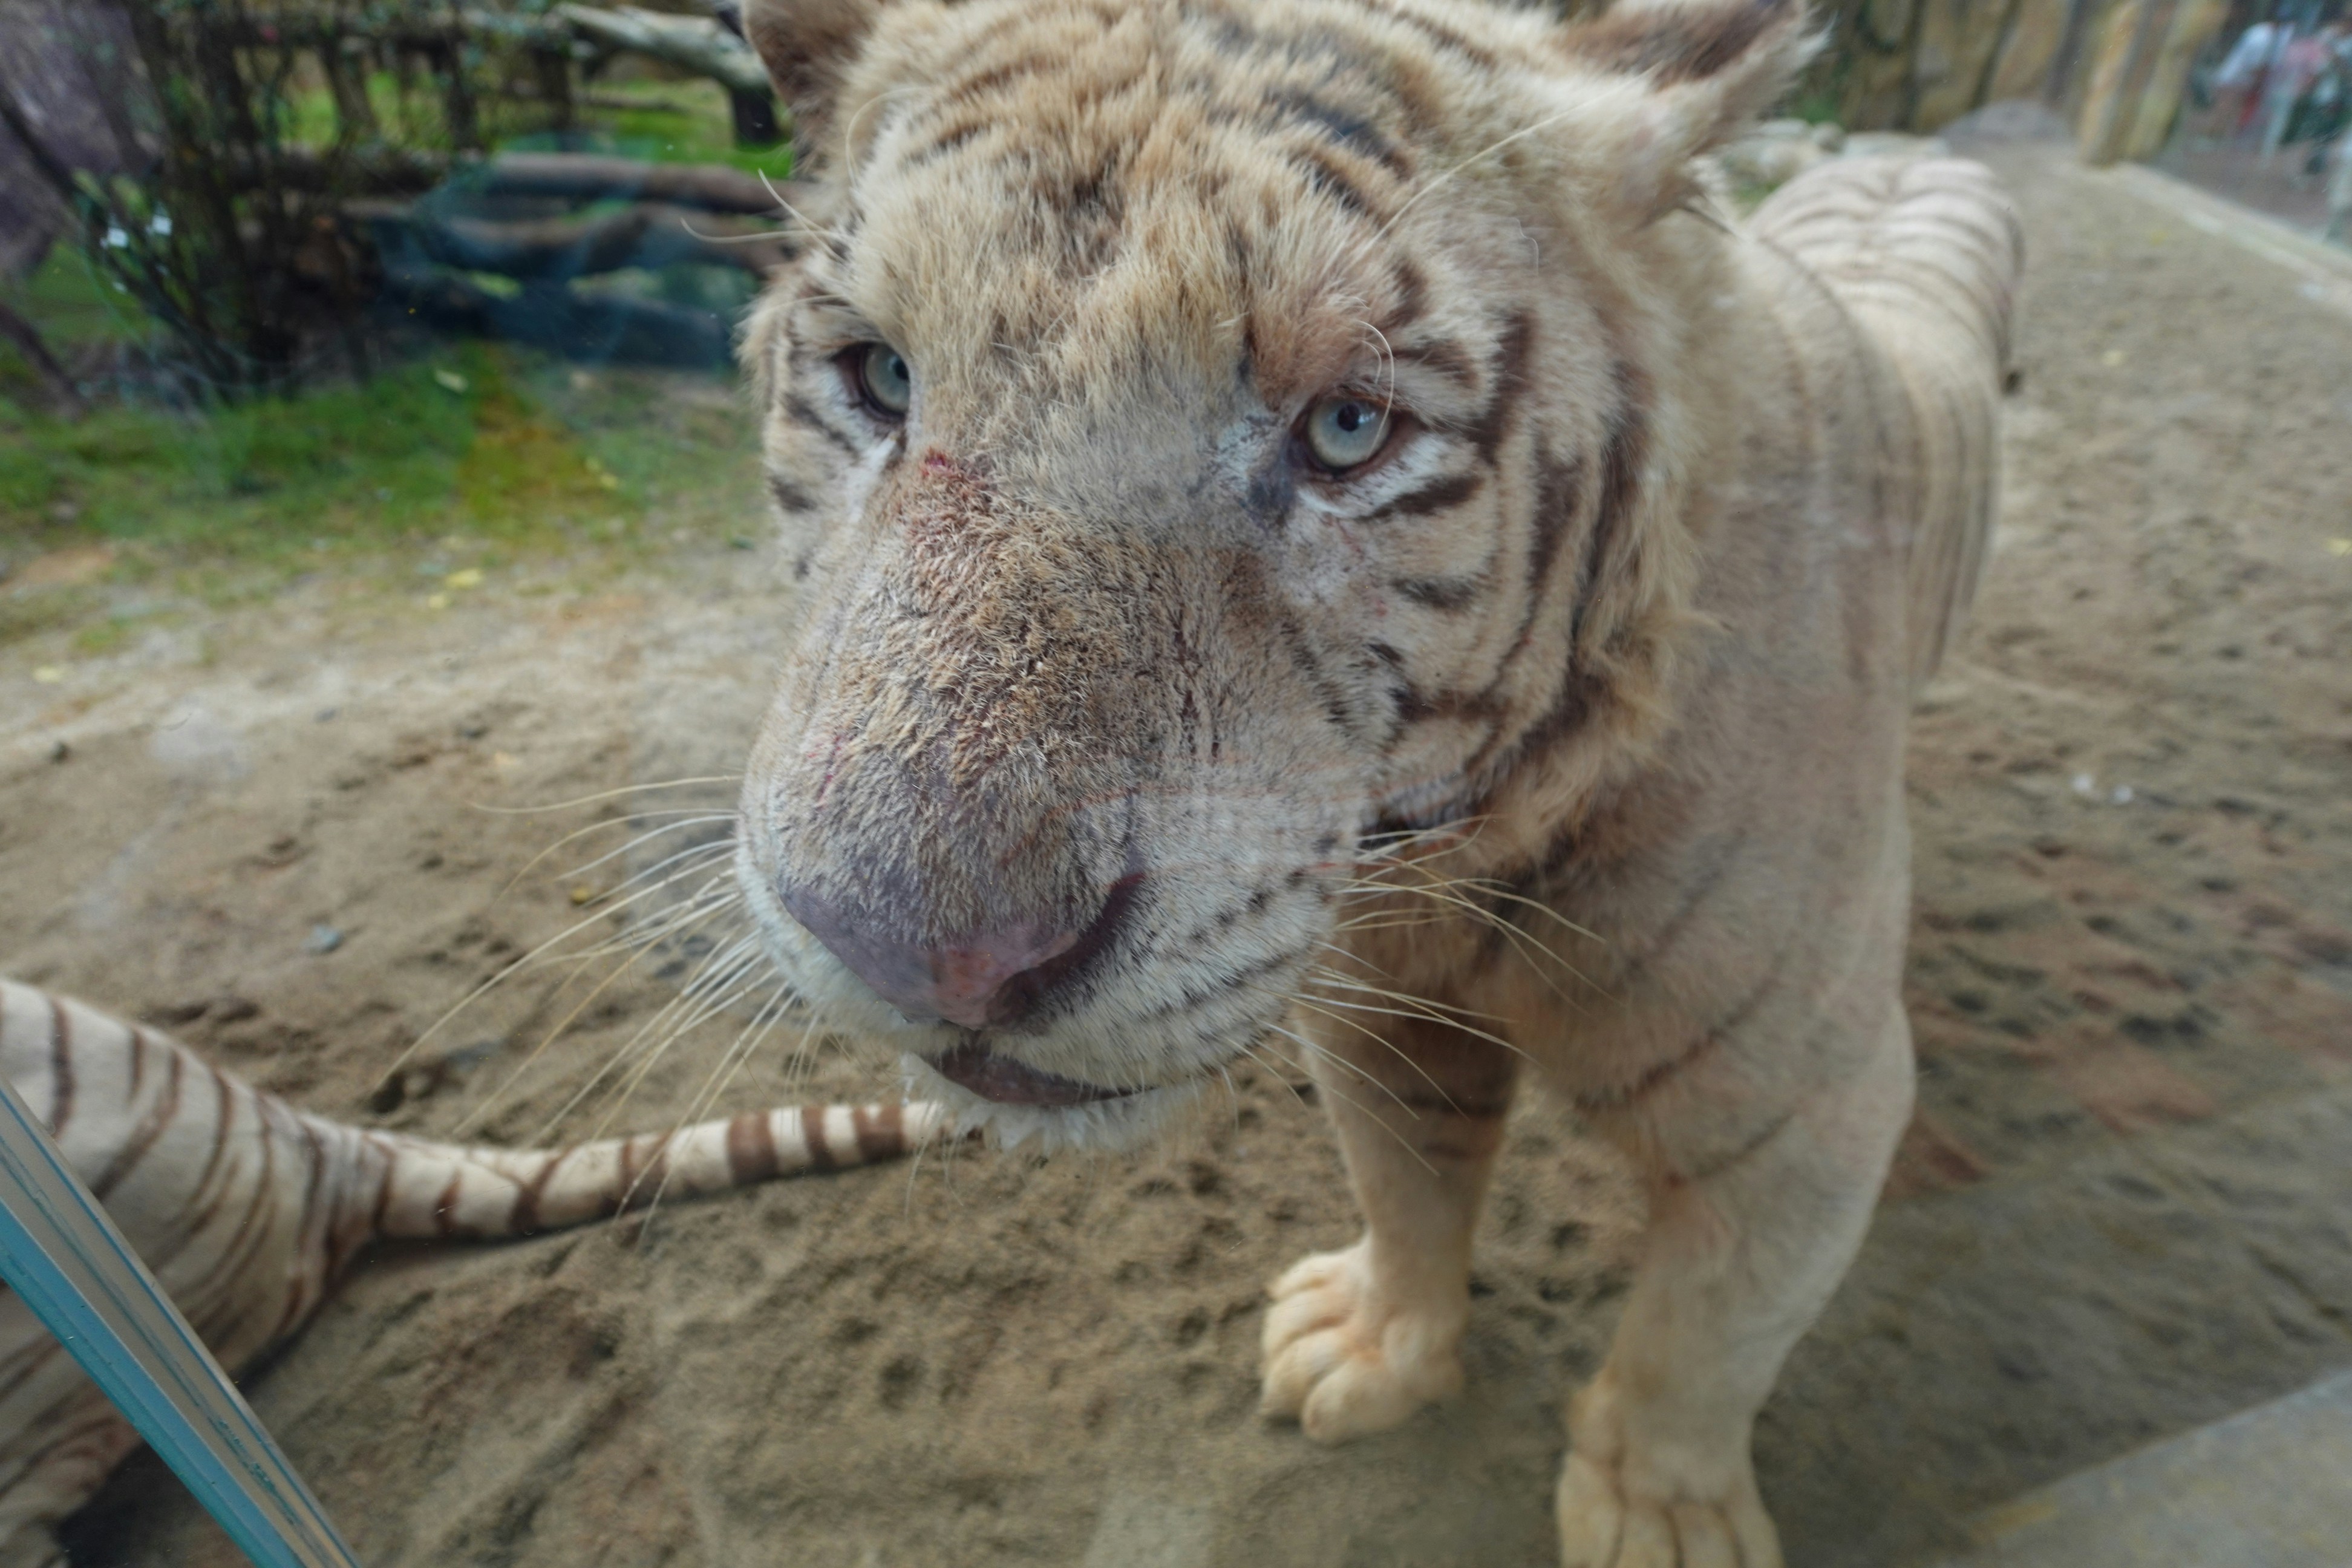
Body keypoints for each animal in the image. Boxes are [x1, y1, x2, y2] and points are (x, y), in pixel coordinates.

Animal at [725, 0, 2018, 1560]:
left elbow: (1701, 1342)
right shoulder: (1376, 1022)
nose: (922, 956)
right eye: (881, 376)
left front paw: (1657, 1517)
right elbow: (1409, 1192)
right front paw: (1374, 1351)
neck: (1458, 866)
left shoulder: (1805, 1108)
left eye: (1351, 427)